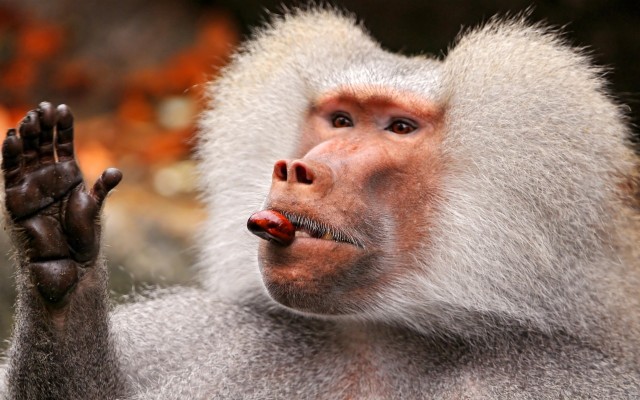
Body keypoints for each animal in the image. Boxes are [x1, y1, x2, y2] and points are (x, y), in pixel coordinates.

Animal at [1, 7, 640, 399]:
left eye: (399, 127)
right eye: (339, 119)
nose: (297, 168)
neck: (378, 334)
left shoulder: (552, 375)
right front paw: (54, 231)